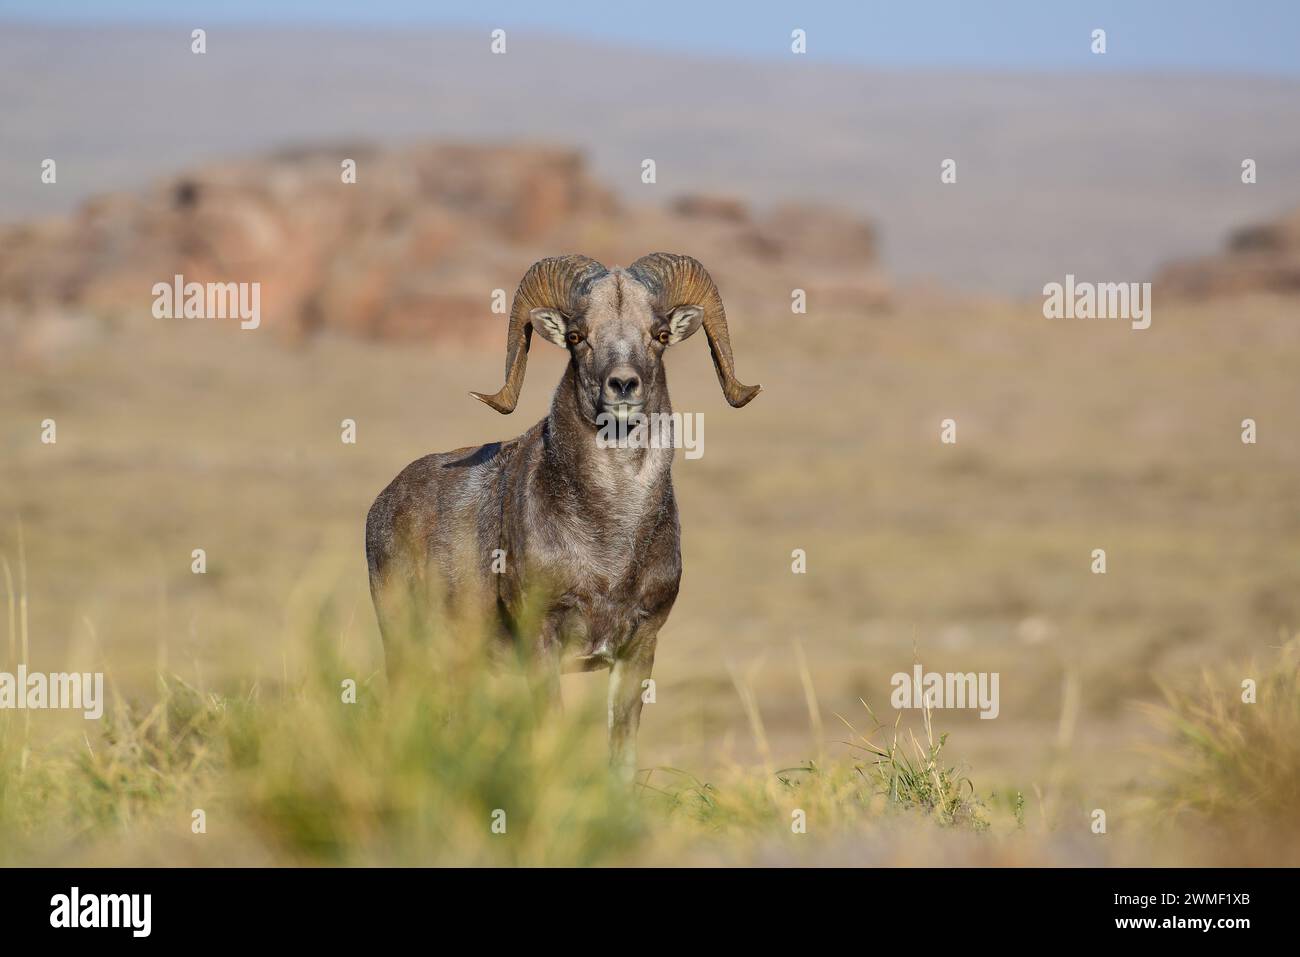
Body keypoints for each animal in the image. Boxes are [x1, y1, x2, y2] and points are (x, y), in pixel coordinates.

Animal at [365, 253, 760, 779]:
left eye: (658, 334)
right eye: (577, 336)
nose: (623, 385)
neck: (611, 549)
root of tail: (381, 507)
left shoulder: (638, 648)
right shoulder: (542, 640)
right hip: (406, 645)